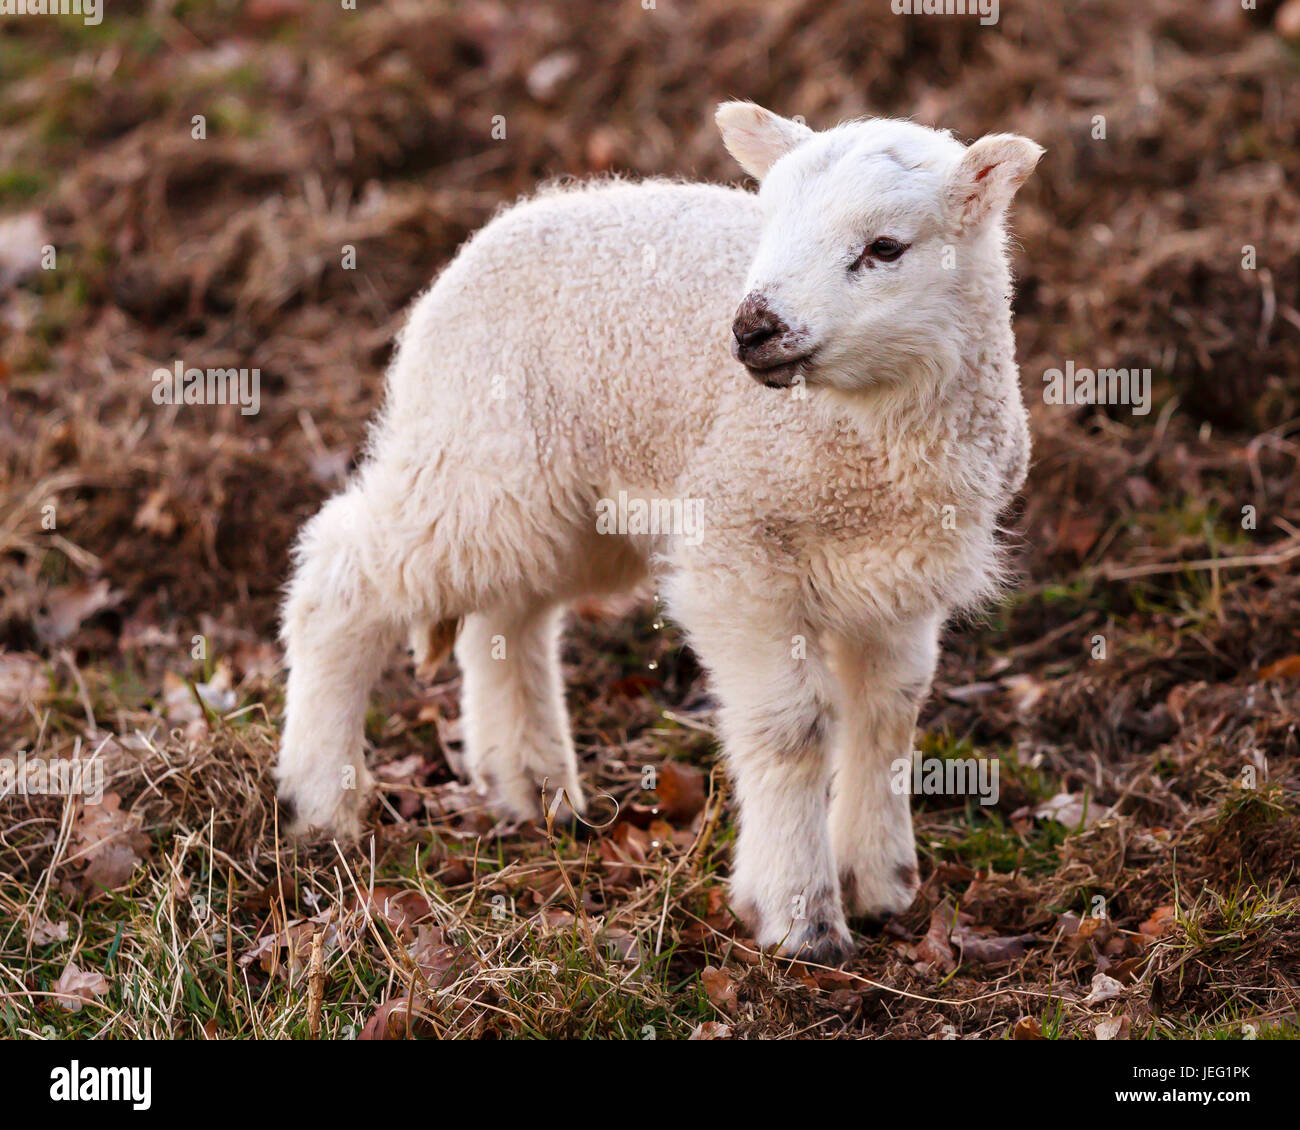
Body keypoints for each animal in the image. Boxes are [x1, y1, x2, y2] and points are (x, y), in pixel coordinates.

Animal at [276, 102, 1042, 963]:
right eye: (768, 222)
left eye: (885, 248)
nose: (753, 327)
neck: (867, 437)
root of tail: (494, 231)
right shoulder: (738, 552)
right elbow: (793, 728)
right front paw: (801, 918)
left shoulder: (900, 574)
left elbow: (889, 713)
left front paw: (881, 886)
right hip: (477, 455)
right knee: (342, 574)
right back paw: (320, 800)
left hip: (564, 506)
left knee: (509, 616)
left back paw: (534, 789)